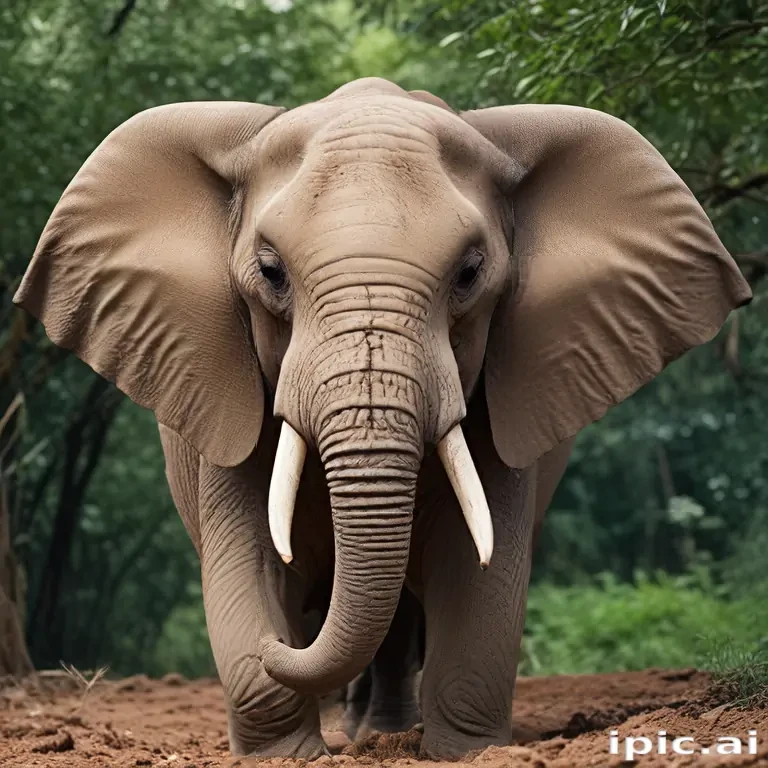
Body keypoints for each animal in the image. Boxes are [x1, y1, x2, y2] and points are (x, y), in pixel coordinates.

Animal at [14, 77, 750, 759]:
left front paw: (466, 755)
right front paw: (287, 753)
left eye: (470, 273)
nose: (281, 646)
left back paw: (382, 733)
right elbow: (246, 552)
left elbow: (475, 569)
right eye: (270, 271)